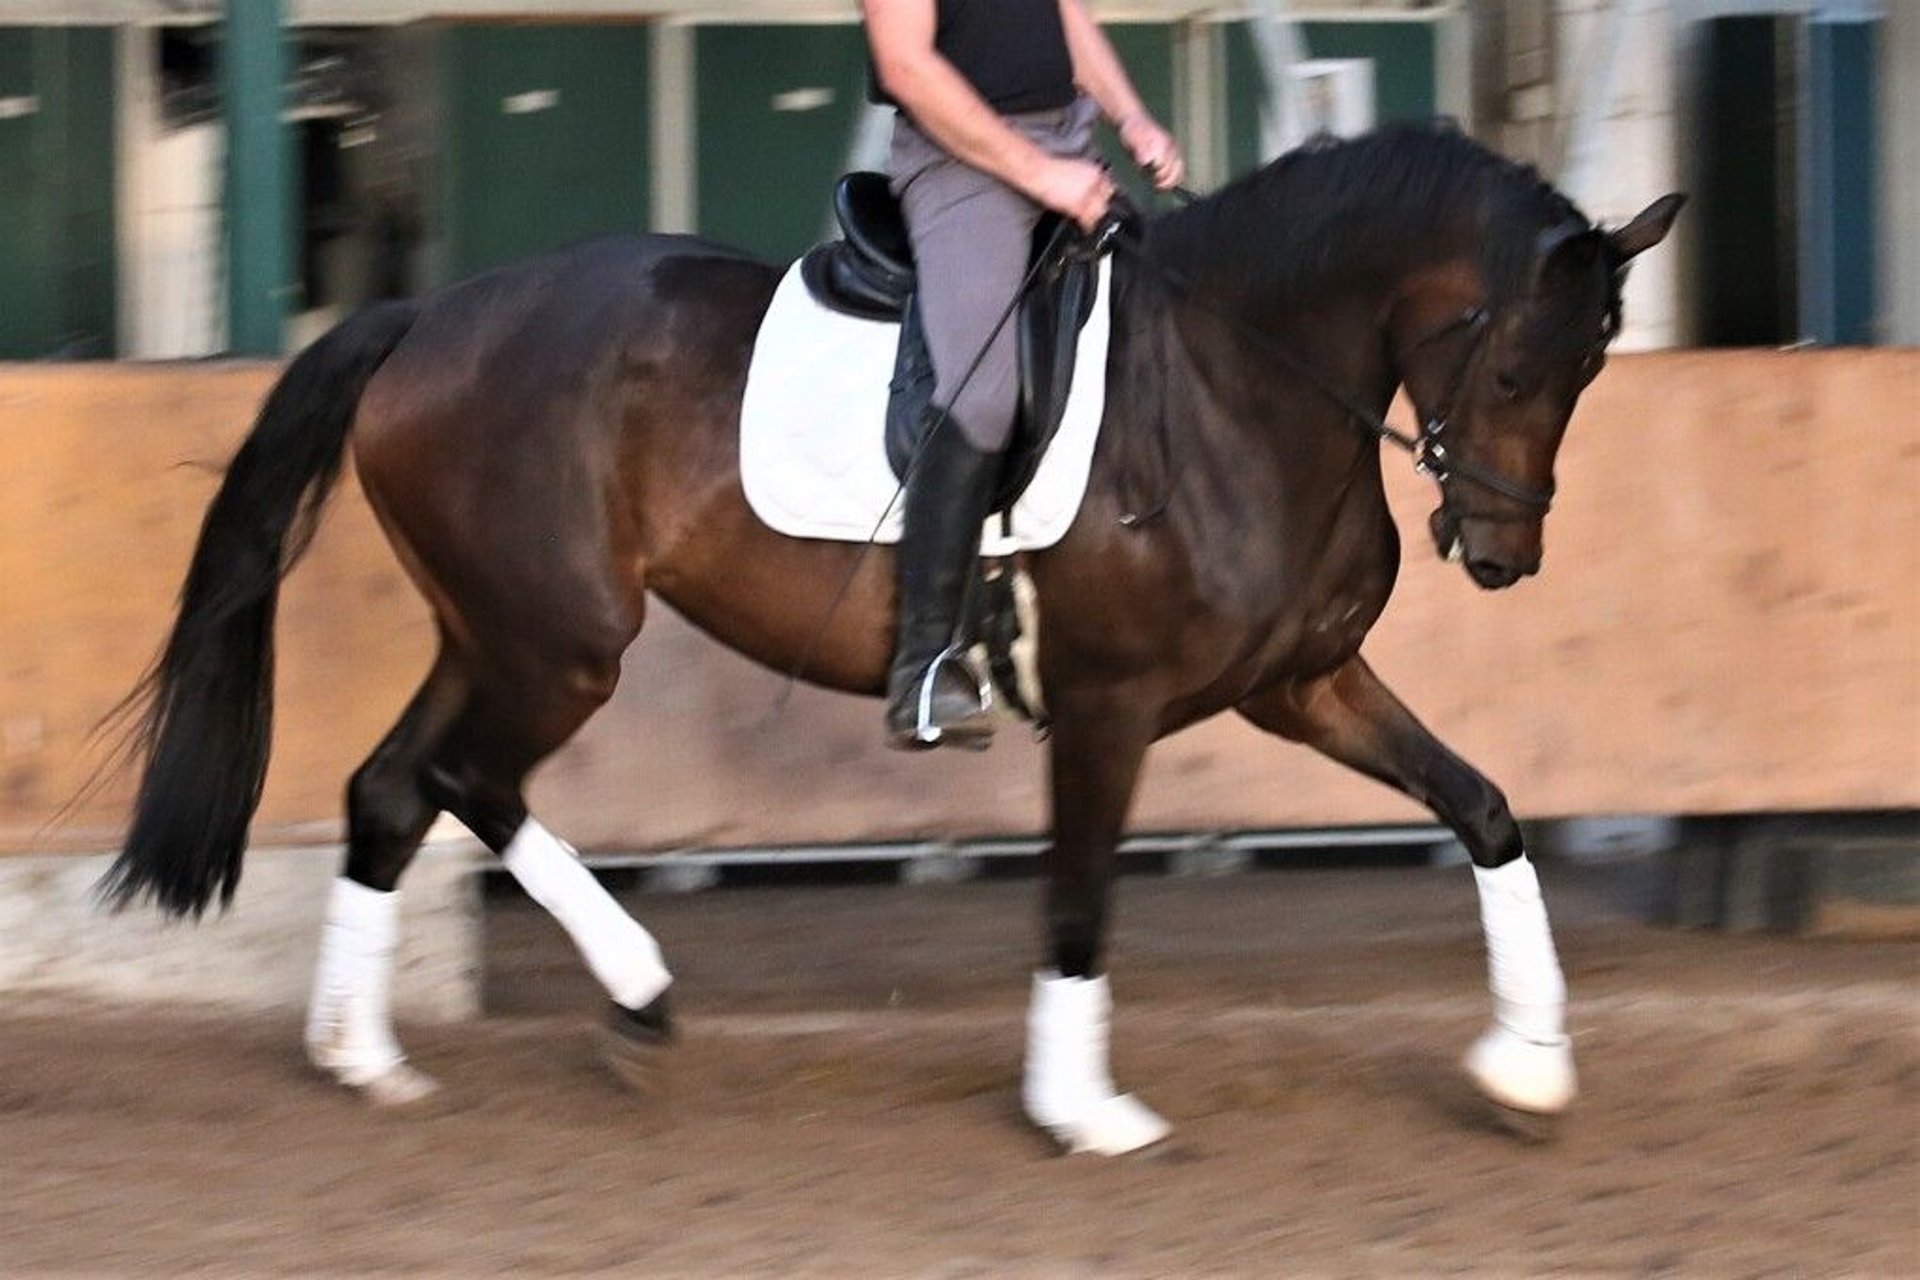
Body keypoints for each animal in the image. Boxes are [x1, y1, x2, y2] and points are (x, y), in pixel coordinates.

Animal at [103, 123, 1680, 1154]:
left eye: (1595, 369)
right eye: (1520, 366)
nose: (1502, 554)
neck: (1240, 379)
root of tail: (430, 313)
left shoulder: (1303, 682)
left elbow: (1484, 808)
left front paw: (1529, 1067)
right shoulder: (1108, 703)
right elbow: (1078, 898)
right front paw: (1081, 1107)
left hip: (493, 629)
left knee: (396, 787)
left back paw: (372, 1055)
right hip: (557, 641)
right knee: (457, 781)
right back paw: (614, 1000)